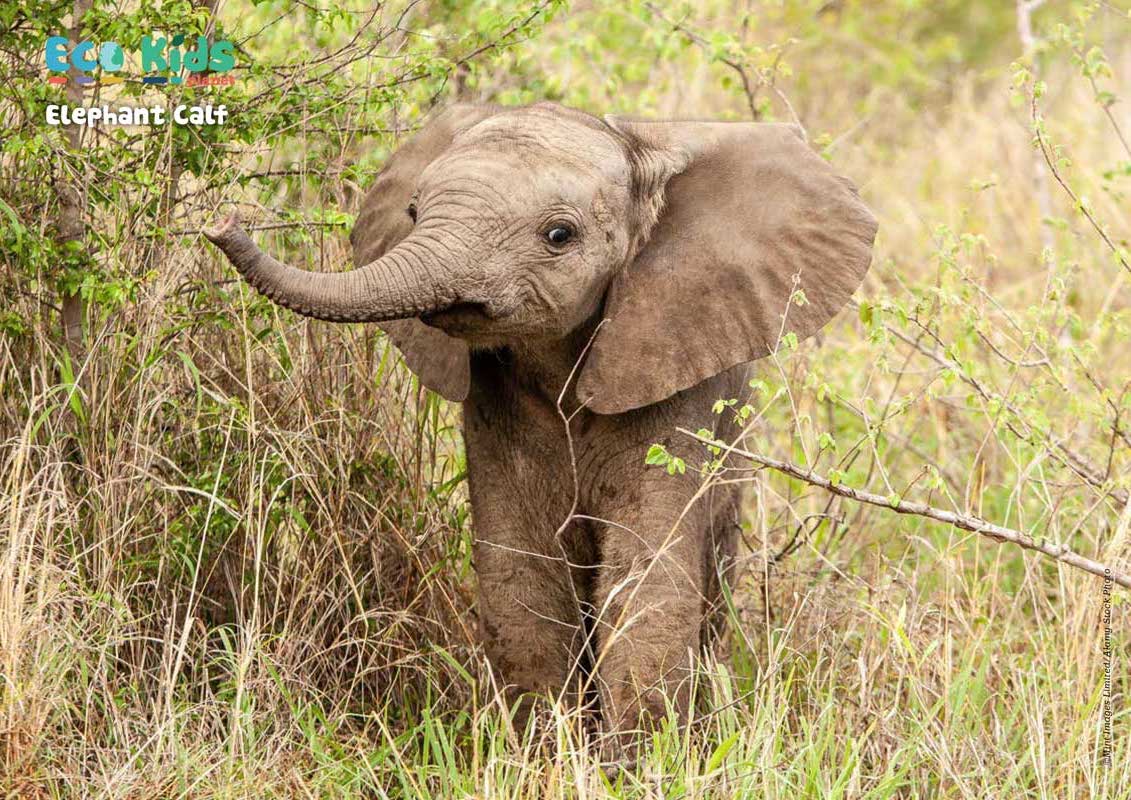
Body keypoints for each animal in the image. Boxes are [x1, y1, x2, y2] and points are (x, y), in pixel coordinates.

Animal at [205, 101, 876, 752]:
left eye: (559, 235)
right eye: (413, 212)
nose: (222, 220)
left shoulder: (676, 369)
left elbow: (644, 583)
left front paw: (640, 765)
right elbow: (523, 575)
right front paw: (544, 758)